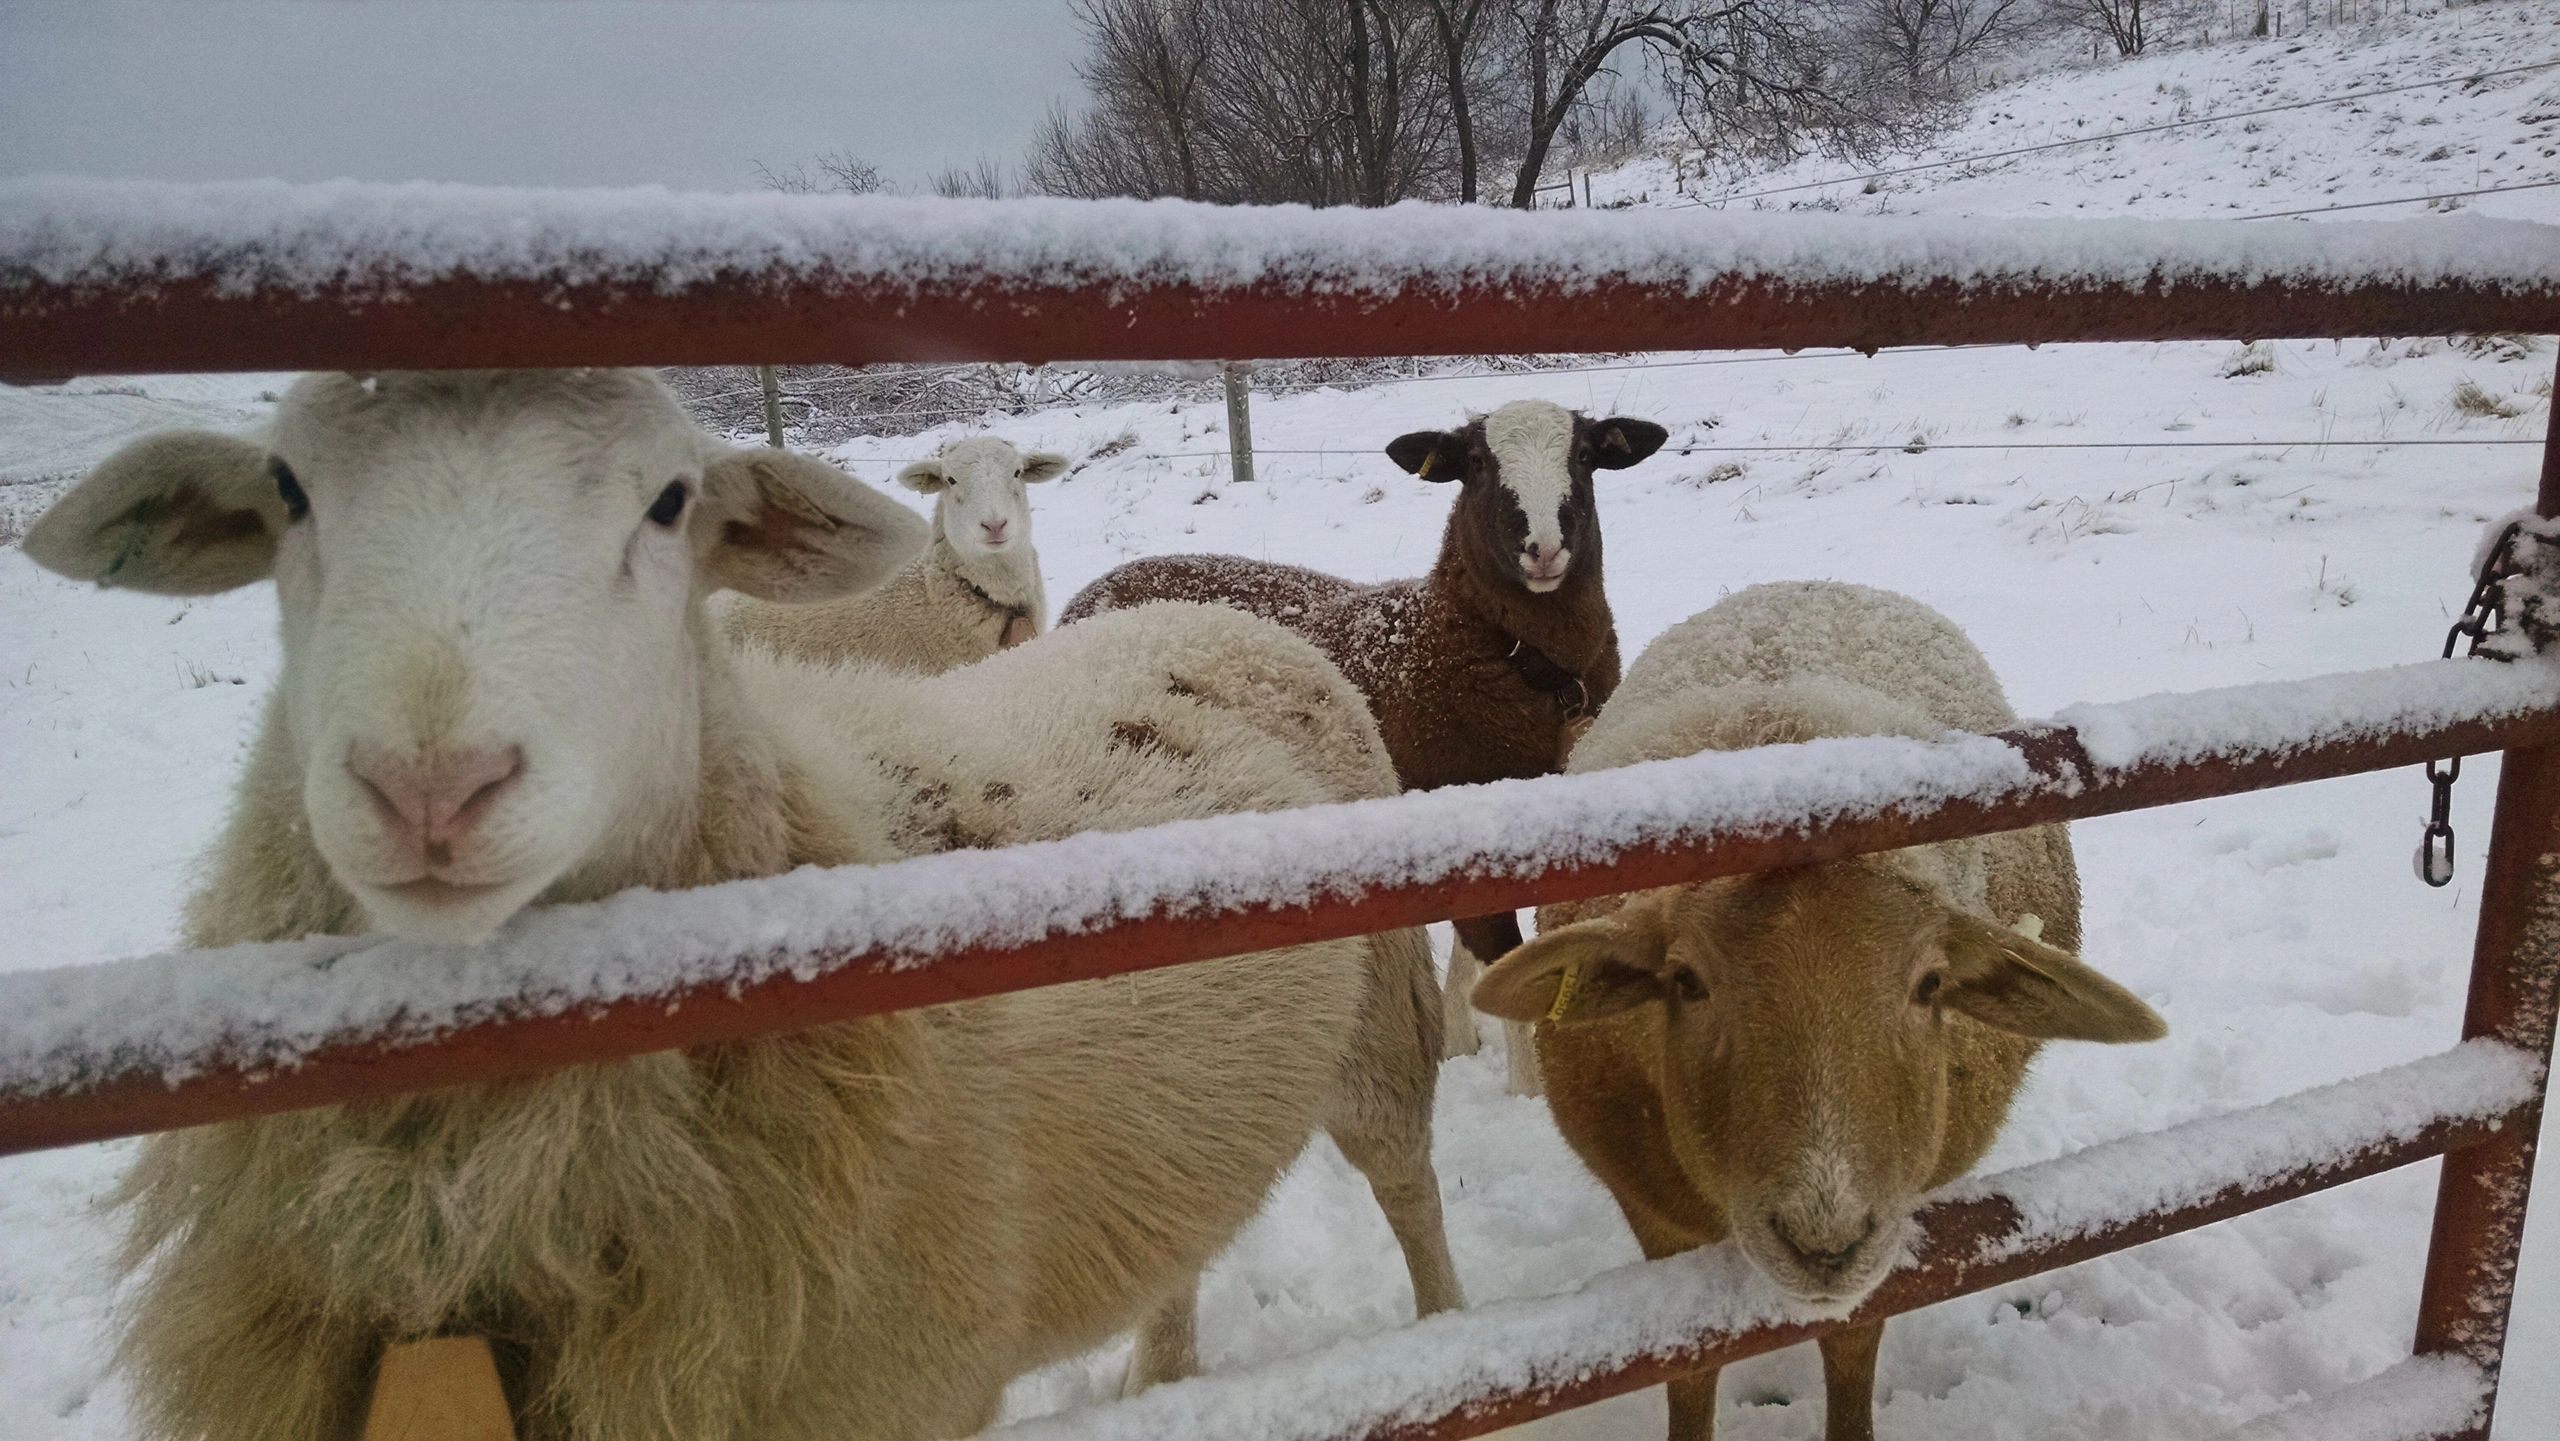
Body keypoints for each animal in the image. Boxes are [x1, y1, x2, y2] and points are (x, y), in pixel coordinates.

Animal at [1061, 398, 1667, 1095]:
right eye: (1477, 463)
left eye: (1586, 457)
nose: (1543, 547)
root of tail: (1089, 593)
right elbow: (1498, 959)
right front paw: (1526, 1089)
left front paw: (1455, 1041)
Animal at [1469, 581, 2167, 1441]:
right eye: (1686, 980)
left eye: (1930, 984)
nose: (1824, 1242)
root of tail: (1812, 583)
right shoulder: (1657, 1218)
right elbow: (1686, 1362)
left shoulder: (1891, 1211)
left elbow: (1854, 1335)